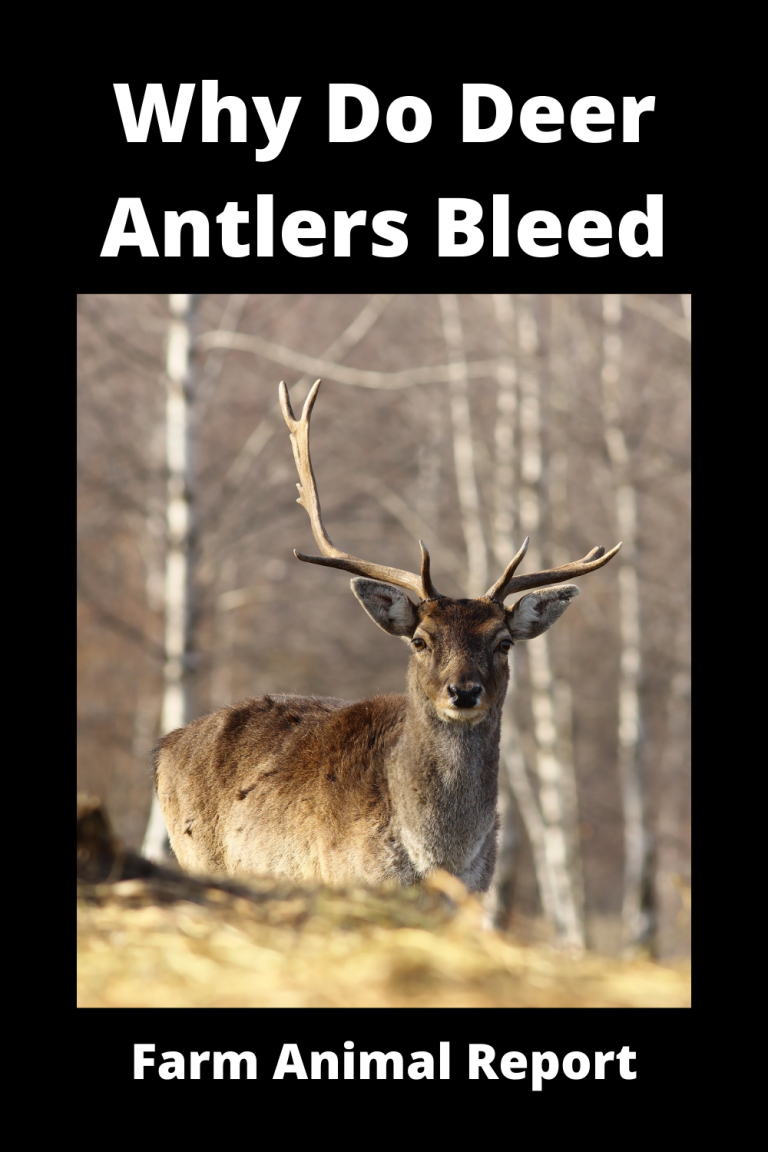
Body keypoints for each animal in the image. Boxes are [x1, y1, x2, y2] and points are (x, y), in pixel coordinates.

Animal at [154, 379, 621, 894]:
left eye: (504, 642)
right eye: (420, 639)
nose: (463, 691)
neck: (437, 860)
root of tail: (165, 747)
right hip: (197, 854)